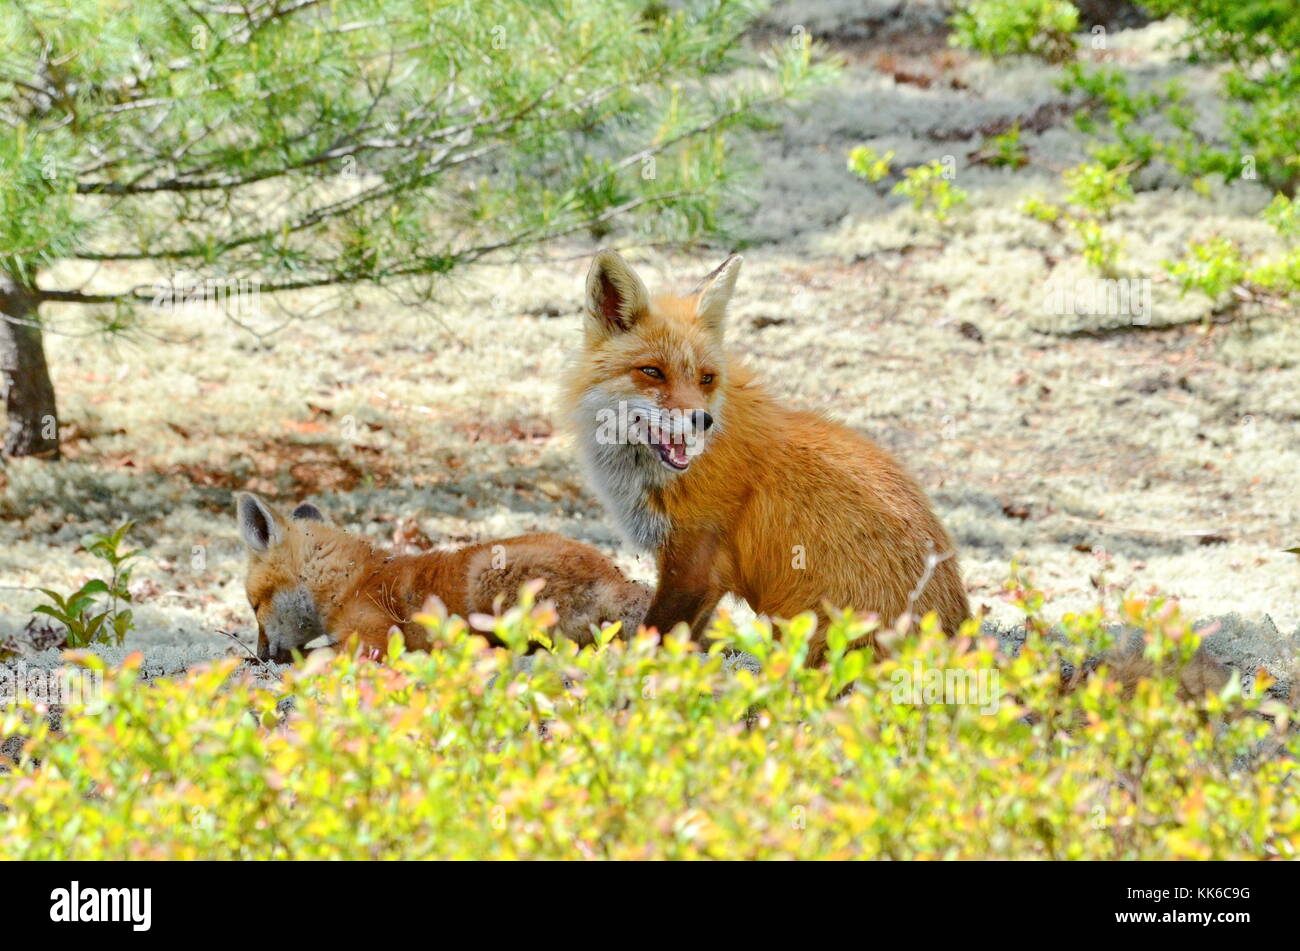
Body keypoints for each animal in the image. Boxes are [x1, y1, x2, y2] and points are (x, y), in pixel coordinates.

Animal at [236, 493, 650, 663]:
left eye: (254, 606)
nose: (259, 655)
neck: (350, 580)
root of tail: (616, 579)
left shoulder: (373, 640)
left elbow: (310, 654)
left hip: (487, 575)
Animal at [562, 250, 970, 665]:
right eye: (651, 372)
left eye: (706, 378)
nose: (702, 420)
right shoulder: (706, 581)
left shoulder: (694, 565)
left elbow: (657, 641)